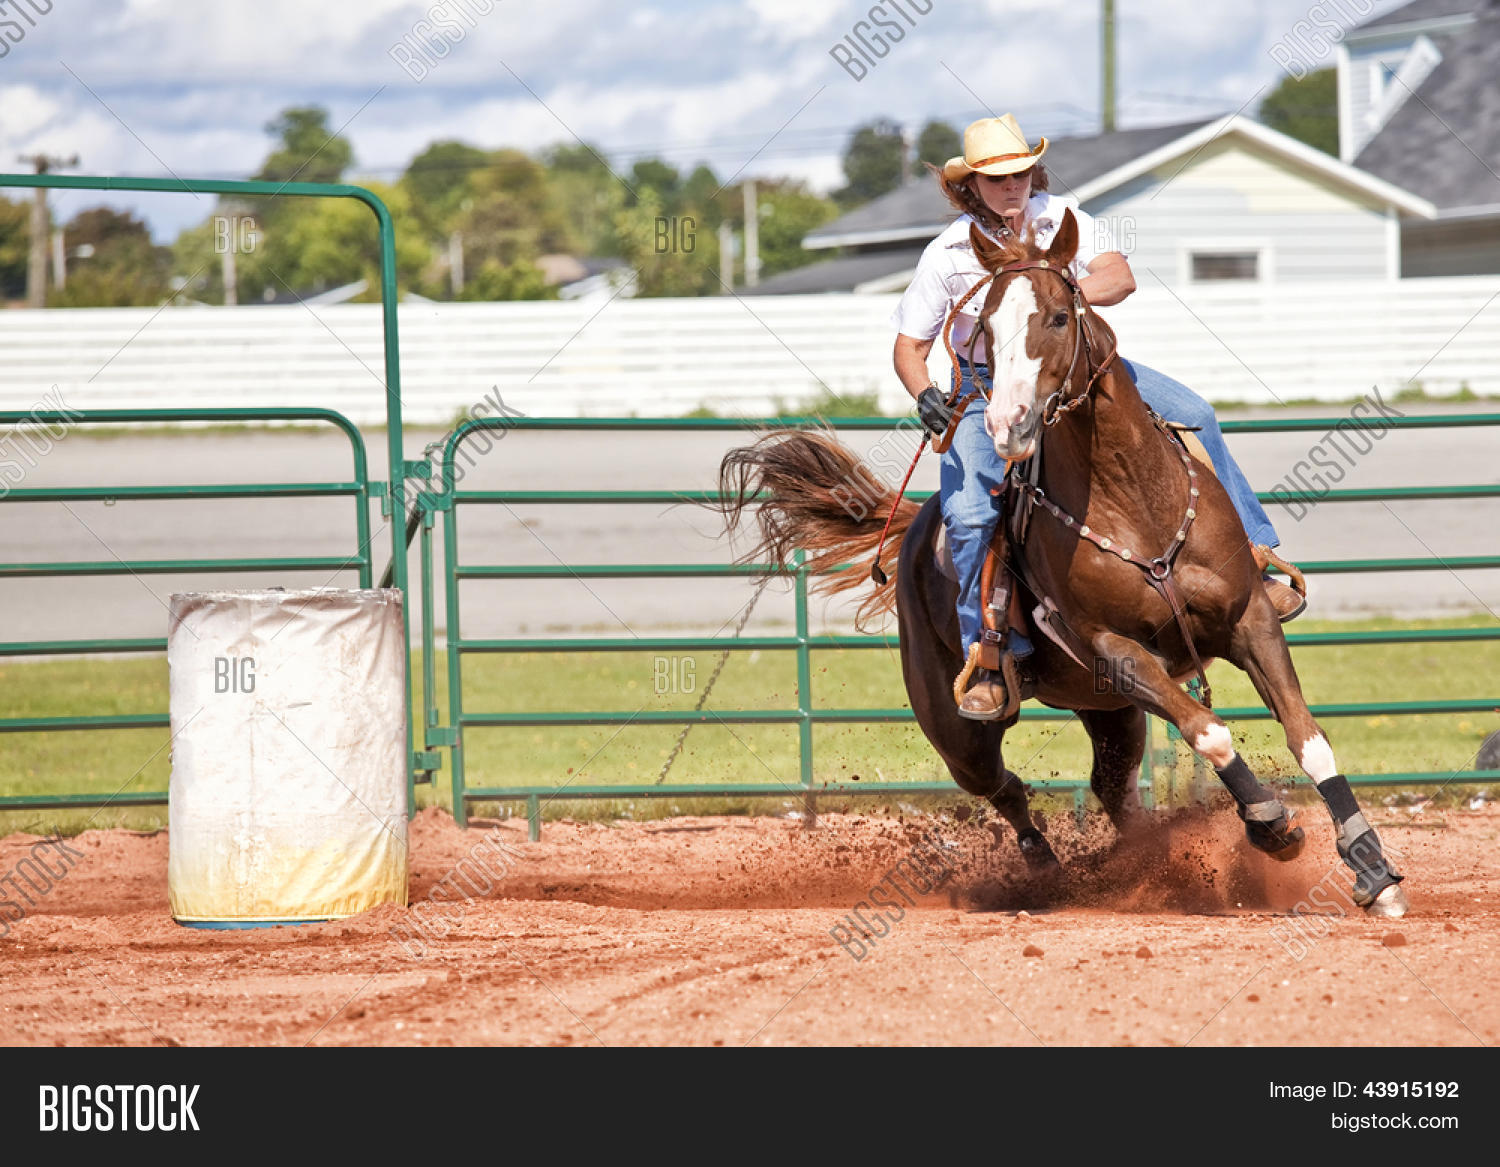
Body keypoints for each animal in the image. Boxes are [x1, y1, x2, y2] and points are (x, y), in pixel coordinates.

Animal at [715, 208, 1409, 918]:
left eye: (1055, 316)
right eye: (984, 326)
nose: (1007, 422)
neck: (1134, 501)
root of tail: (916, 525)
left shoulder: (1249, 622)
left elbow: (1308, 736)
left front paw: (1371, 867)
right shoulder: (1115, 651)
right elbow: (1208, 731)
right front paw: (1270, 825)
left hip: (1109, 711)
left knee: (1112, 791)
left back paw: (1144, 866)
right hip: (957, 724)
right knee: (1003, 786)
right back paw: (1048, 868)